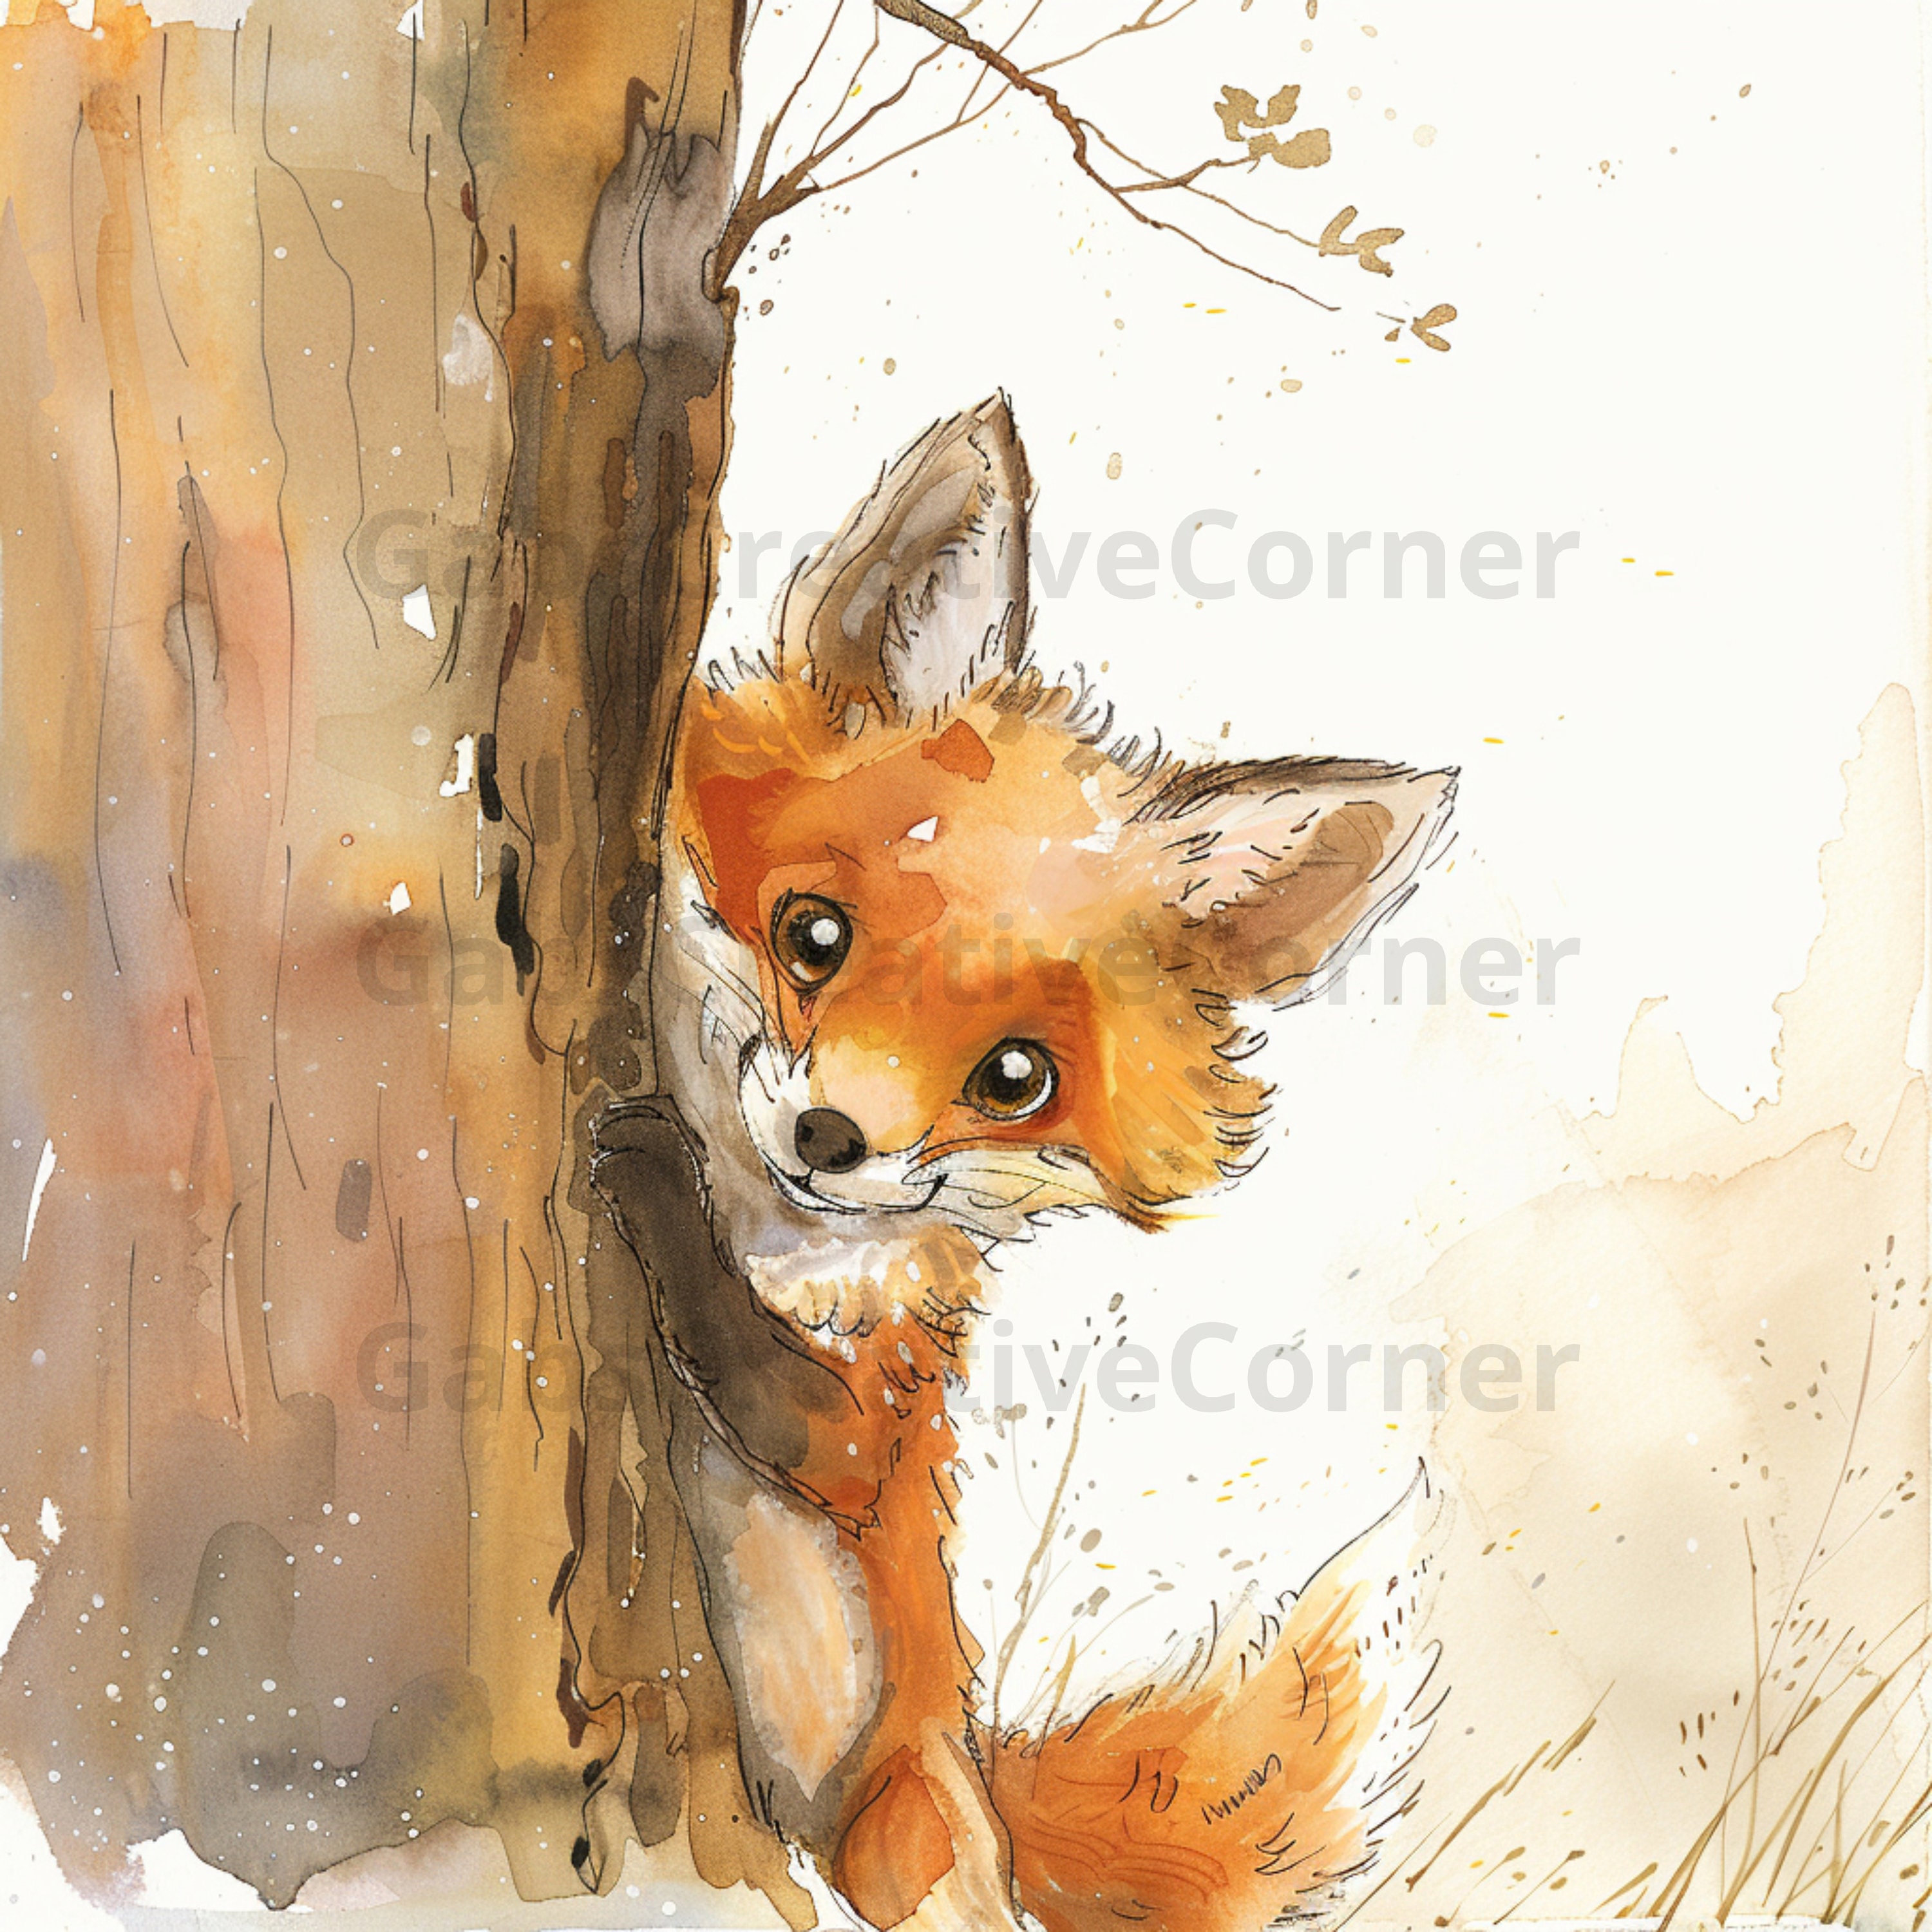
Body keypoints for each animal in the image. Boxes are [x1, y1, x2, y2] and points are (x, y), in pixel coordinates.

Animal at [591, 394, 1454, 1932]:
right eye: (813, 937)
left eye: (1014, 1079)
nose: (830, 1142)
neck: (779, 1238)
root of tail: (985, 1775)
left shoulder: (870, 1422)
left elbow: (759, 1372)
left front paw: (649, 1179)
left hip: (902, 1838)